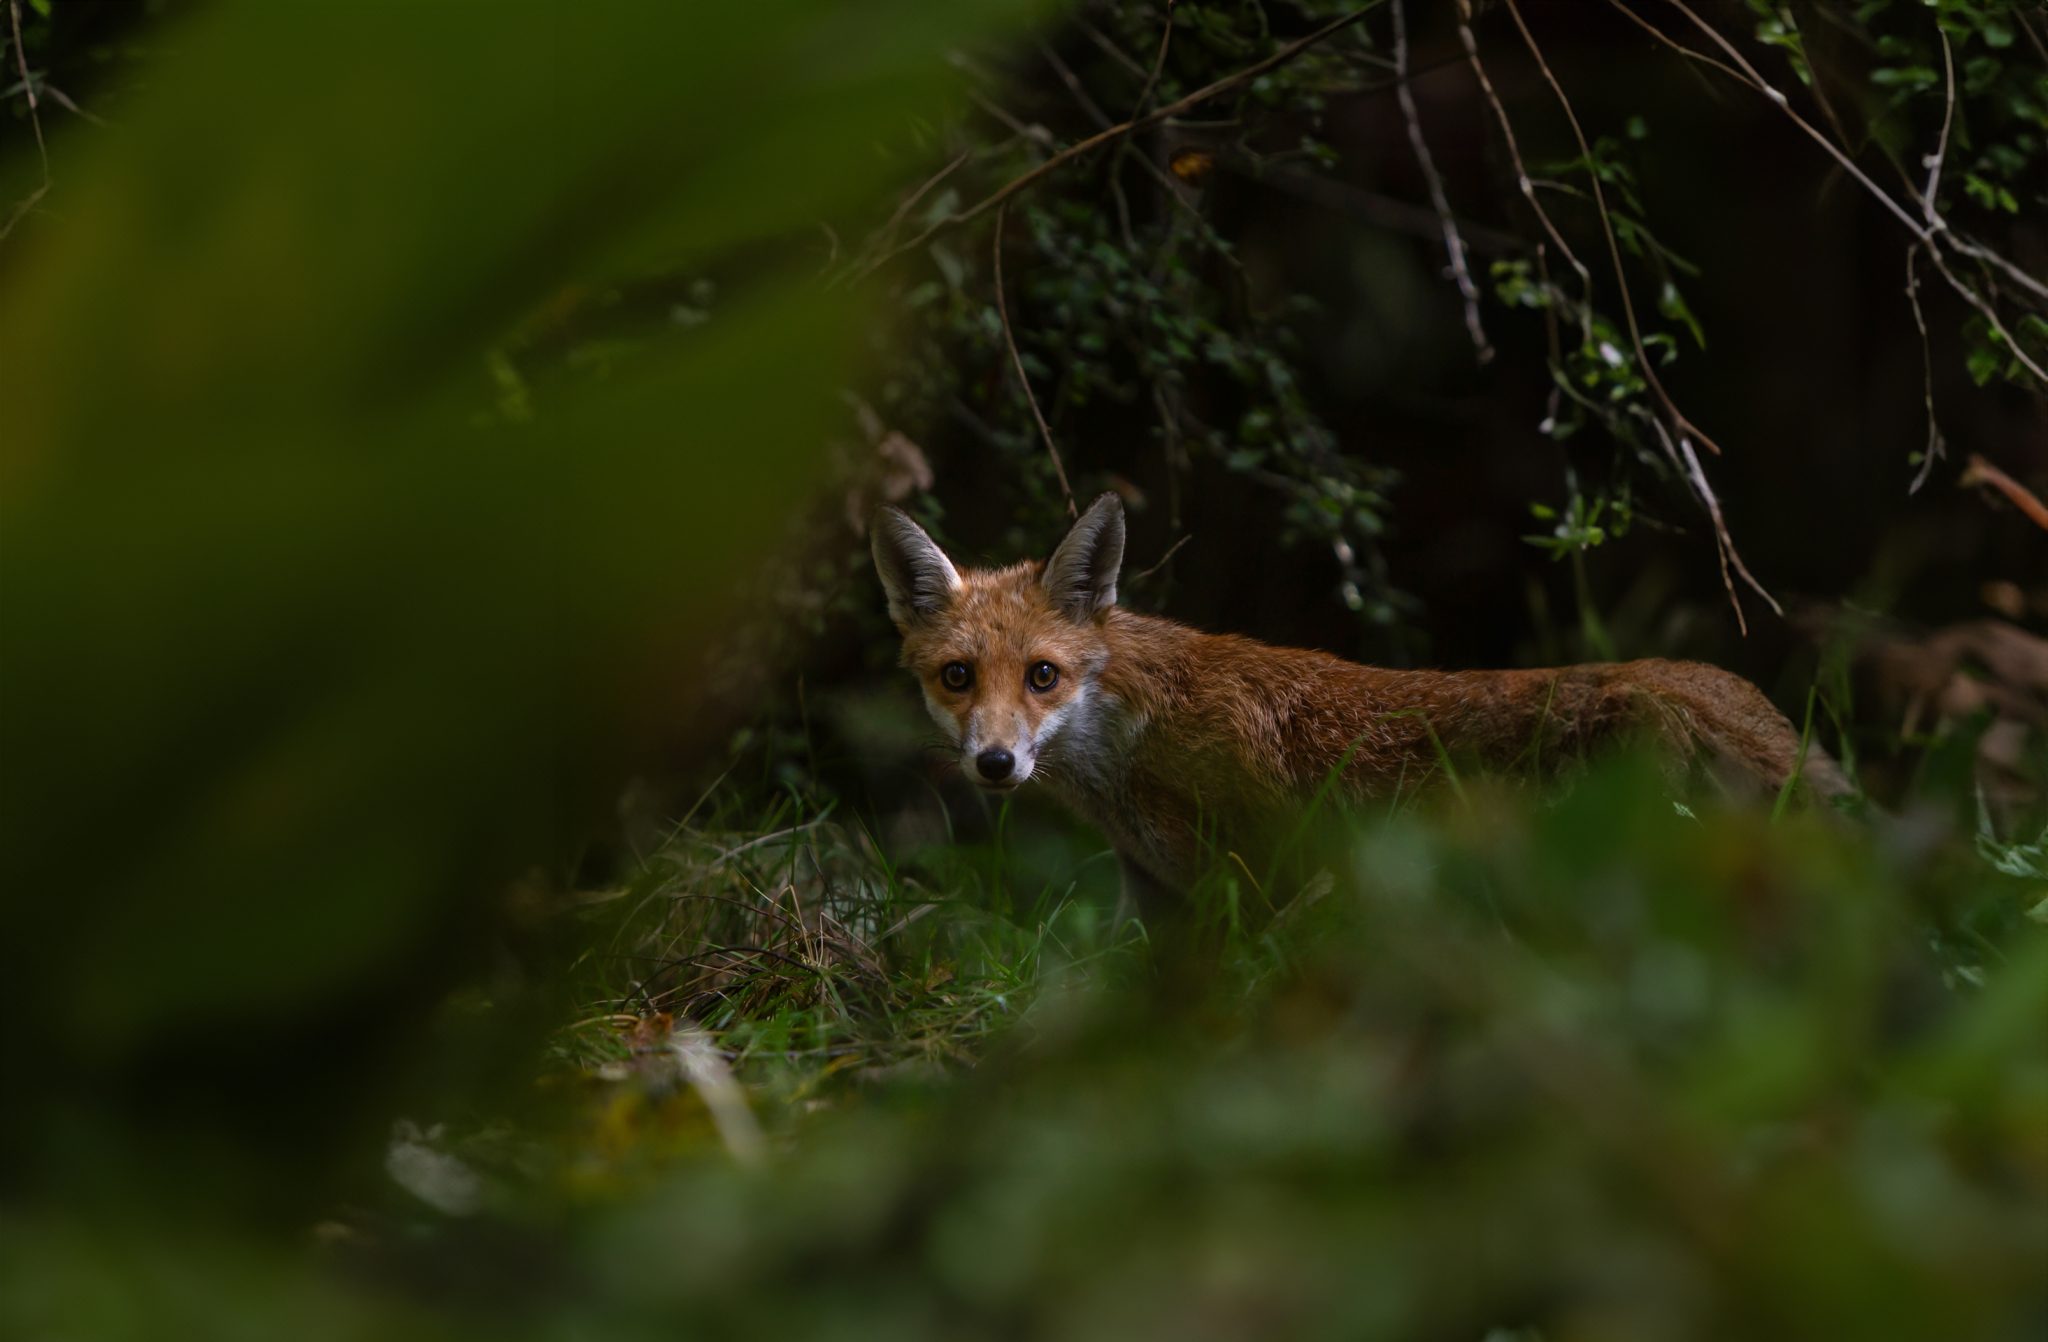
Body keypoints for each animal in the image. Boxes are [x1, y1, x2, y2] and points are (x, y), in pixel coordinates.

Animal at [872, 492, 1850, 911]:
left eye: (1043, 676)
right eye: (958, 677)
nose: (996, 762)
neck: (1132, 755)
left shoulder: (1260, 881)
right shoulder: (1158, 897)